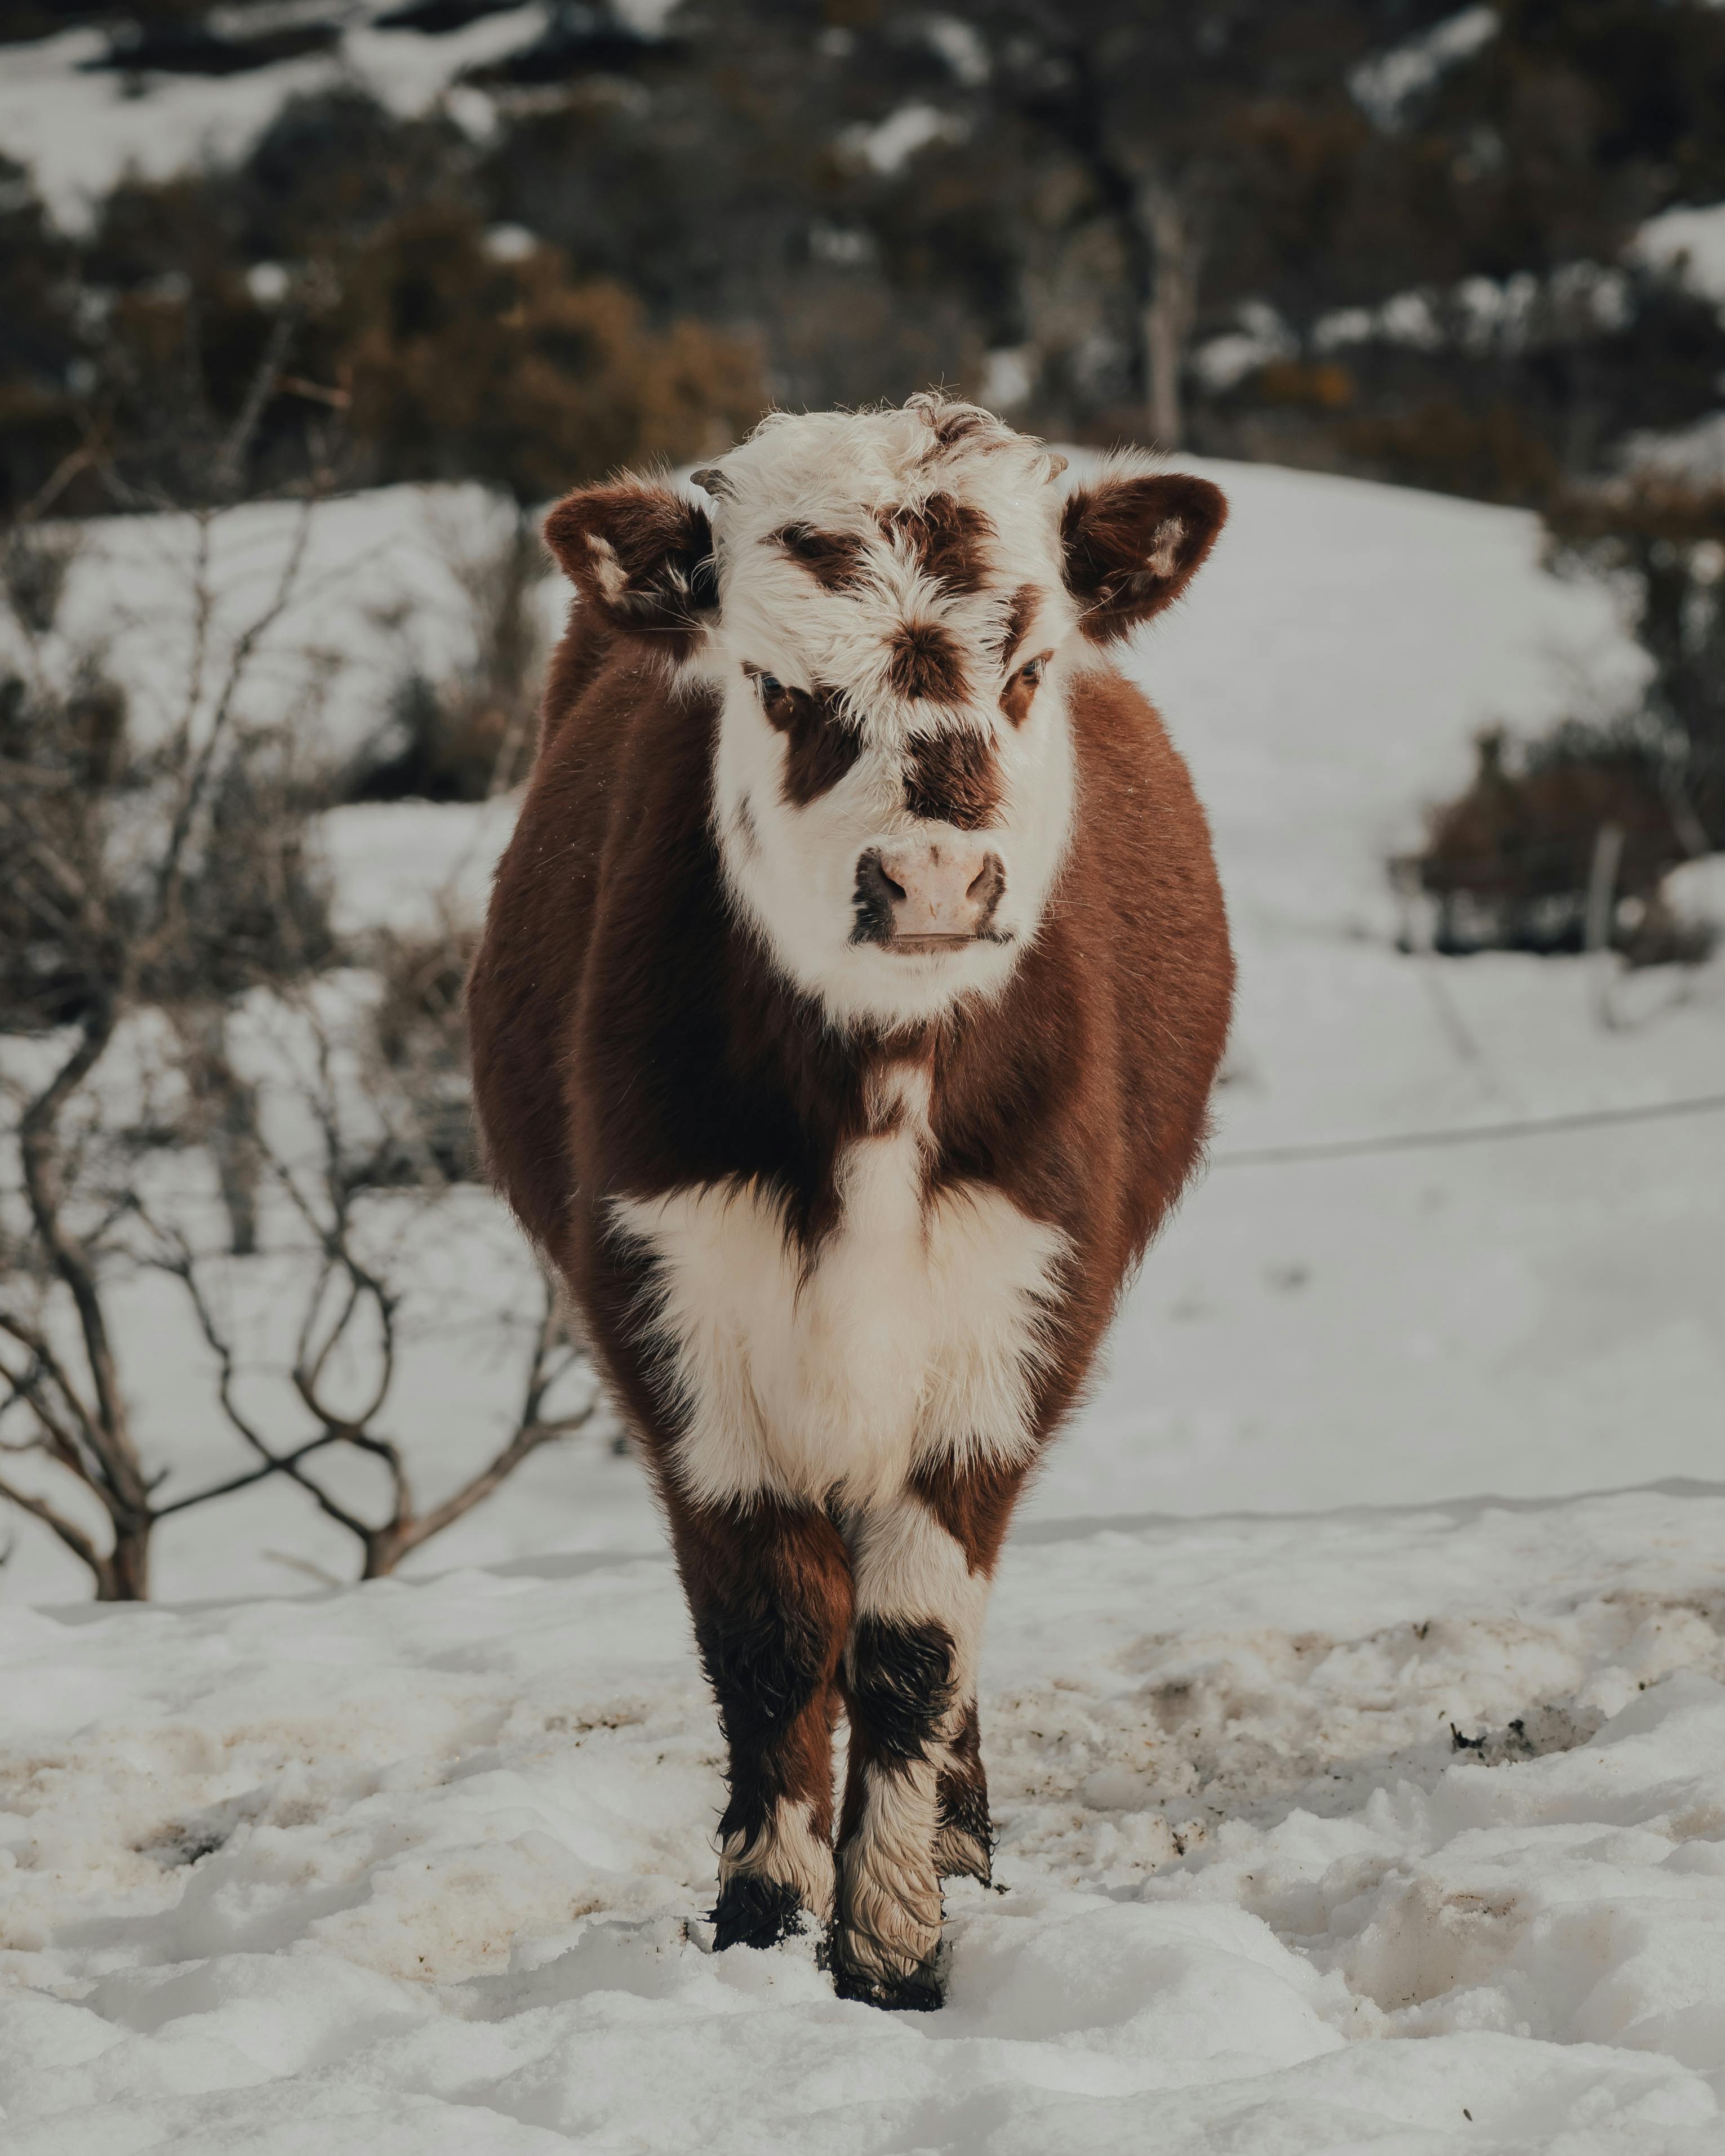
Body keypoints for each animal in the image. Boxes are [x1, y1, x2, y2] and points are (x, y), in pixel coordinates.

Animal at [466, 395, 1233, 2010]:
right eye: (770, 682)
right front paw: (764, 1913)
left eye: (1030, 667)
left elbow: (912, 1646)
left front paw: (888, 1935)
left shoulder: (1010, 1321)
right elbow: (770, 1637)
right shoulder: (680, 1319)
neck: (878, 1084)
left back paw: (956, 1831)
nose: (933, 877)